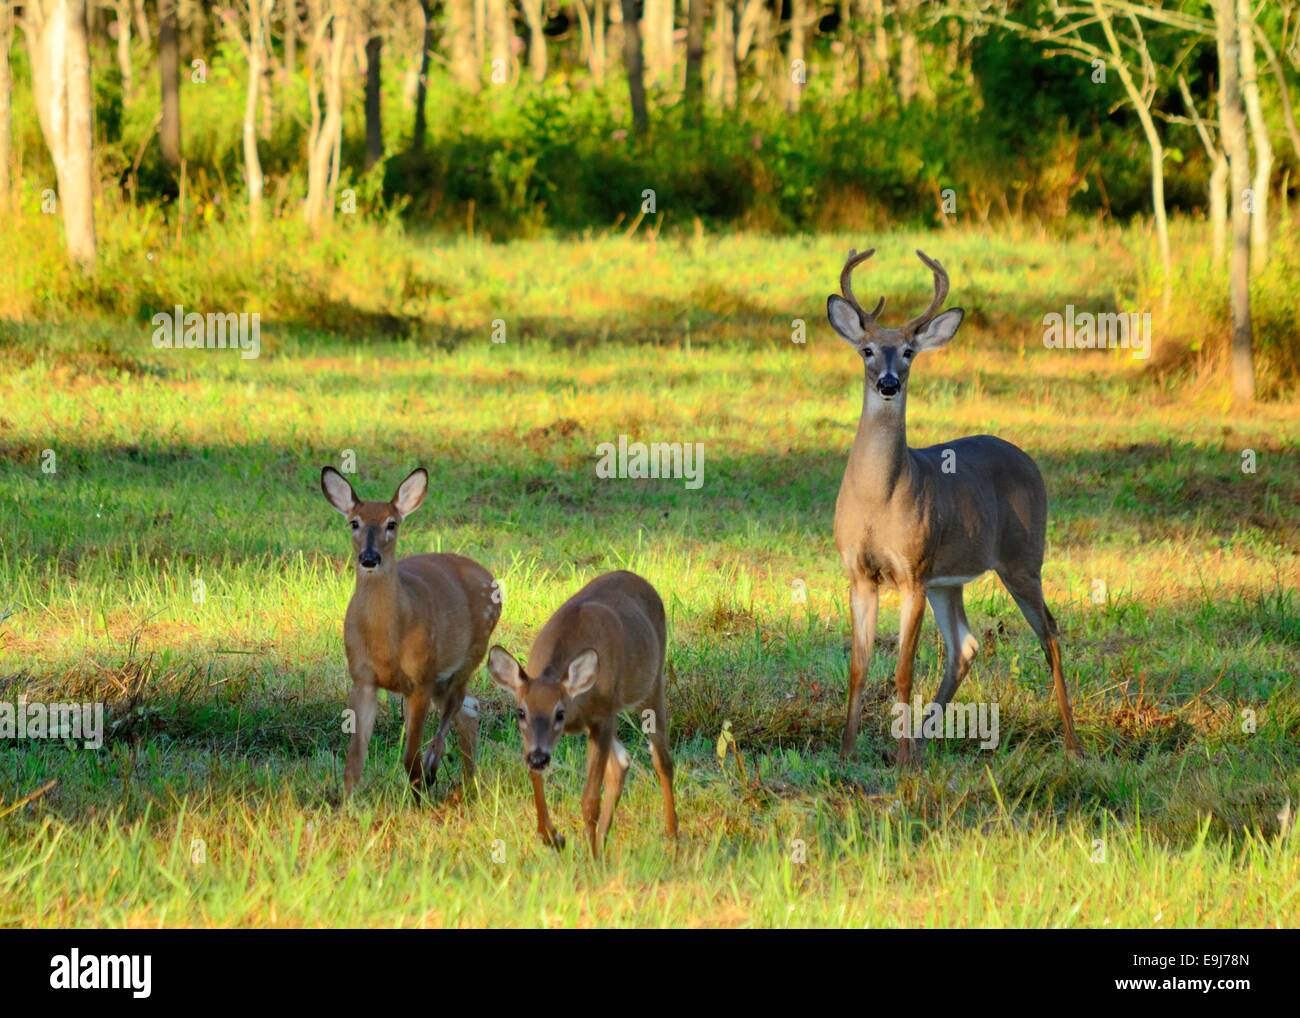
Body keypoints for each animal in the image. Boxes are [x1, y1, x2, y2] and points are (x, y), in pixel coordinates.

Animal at [320, 466, 501, 802]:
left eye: (392, 523)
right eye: (354, 522)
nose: (369, 558)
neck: (385, 641)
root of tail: (490, 576)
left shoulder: (420, 679)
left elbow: (409, 756)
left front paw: (419, 797)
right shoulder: (362, 678)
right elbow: (354, 760)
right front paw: (345, 806)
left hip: (471, 653)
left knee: (458, 705)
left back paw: (436, 768)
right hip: (443, 676)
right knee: (468, 710)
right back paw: (468, 785)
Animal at [486, 570, 677, 856]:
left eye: (559, 713)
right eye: (521, 712)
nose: (539, 757)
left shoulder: (603, 717)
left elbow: (590, 799)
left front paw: (590, 857)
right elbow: (534, 778)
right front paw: (554, 837)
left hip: (651, 685)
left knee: (662, 760)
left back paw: (673, 838)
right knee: (622, 762)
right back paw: (603, 841)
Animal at [827, 248, 1083, 765]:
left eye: (908, 351)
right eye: (867, 350)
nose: (888, 383)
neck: (878, 499)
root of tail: (1028, 459)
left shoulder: (913, 570)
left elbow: (903, 670)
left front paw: (901, 761)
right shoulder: (860, 573)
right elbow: (858, 668)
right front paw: (846, 754)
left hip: (1023, 557)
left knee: (1049, 631)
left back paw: (1072, 743)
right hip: (950, 579)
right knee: (965, 644)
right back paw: (926, 740)